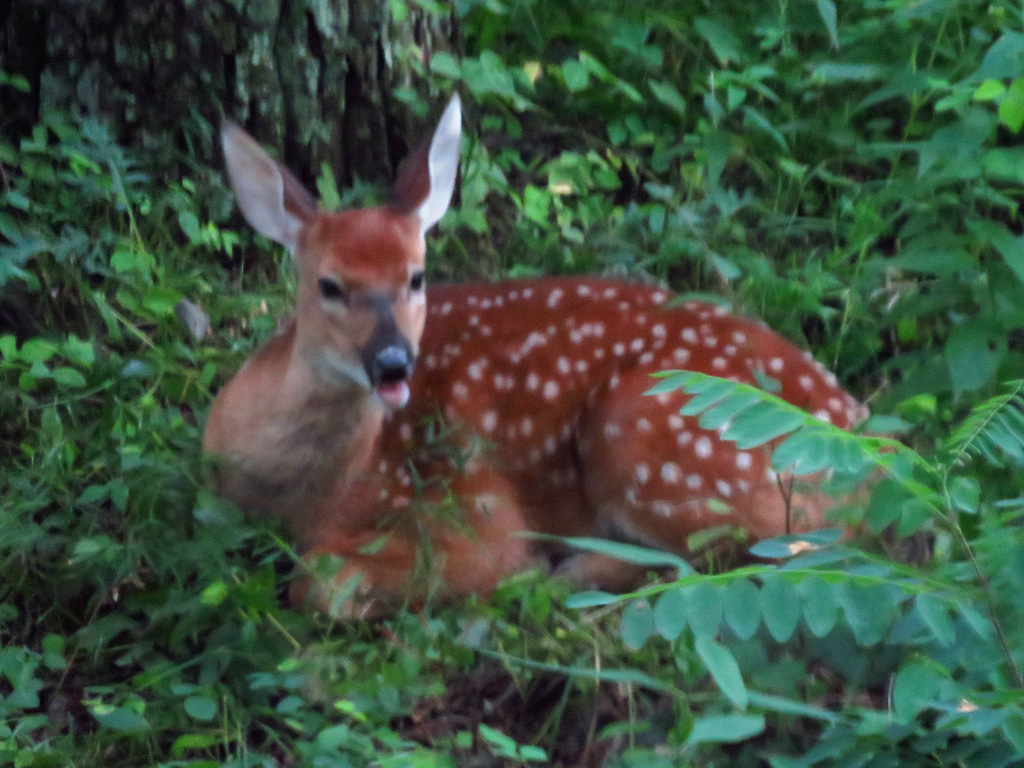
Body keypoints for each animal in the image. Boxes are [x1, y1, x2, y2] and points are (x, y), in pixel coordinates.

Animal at [204, 95, 868, 617]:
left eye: (416, 276)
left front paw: (522, 572)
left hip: (650, 432)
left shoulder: (472, 504)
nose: (393, 363)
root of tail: (860, 442)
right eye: (329, 285)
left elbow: (324, 579)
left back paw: (572, 574)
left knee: (773, 551)